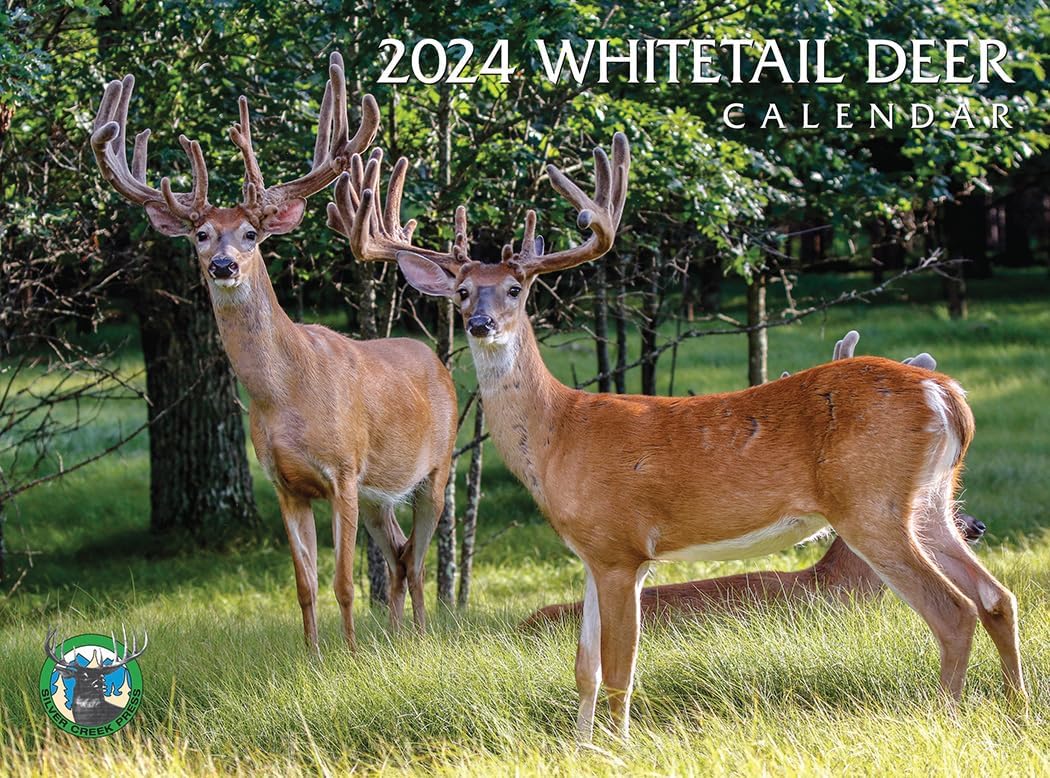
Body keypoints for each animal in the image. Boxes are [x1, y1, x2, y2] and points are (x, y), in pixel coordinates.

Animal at [91, 55, 458, 654]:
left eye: (249, 234)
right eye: (199, 234)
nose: (223, 266)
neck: (285, 395)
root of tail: (435, 361)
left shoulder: (344, 471)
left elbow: (344, 582)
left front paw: (348, 656)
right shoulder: (286, 485)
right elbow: (305, 584)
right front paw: (313, 657)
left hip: (436, 470)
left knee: (420, 557)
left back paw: (422, 638)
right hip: (381, 494)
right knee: (401, 554)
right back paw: (398, 638)